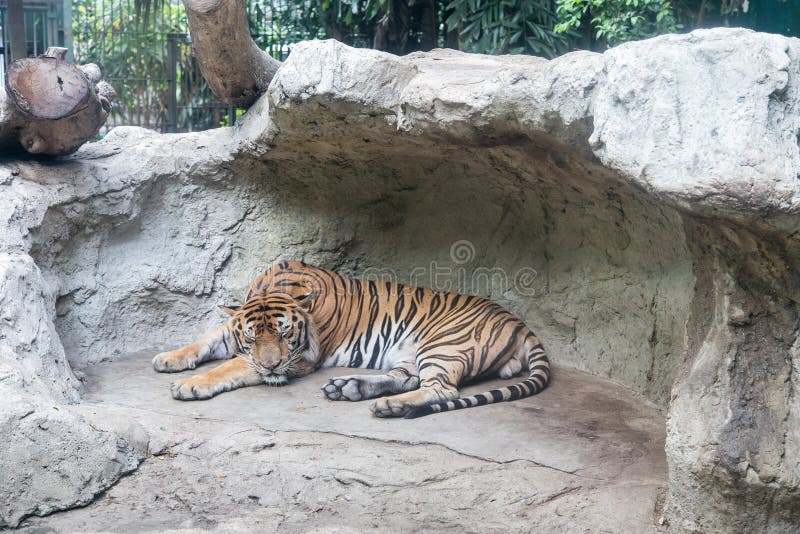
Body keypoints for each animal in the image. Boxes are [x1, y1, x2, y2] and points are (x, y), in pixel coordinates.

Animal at [152, 261, 551, 418]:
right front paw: (168, 358)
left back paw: (390, 407)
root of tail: (520, 323)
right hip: (412, 355)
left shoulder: (299, 360)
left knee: (441, 390)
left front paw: (190, 385)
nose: (272, 365)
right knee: (407, 380)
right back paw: (349, 388)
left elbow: (231, 367)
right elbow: (205, 340)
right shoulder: (234, 332)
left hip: (444, 345)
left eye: (285, 333)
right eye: (252, 336)